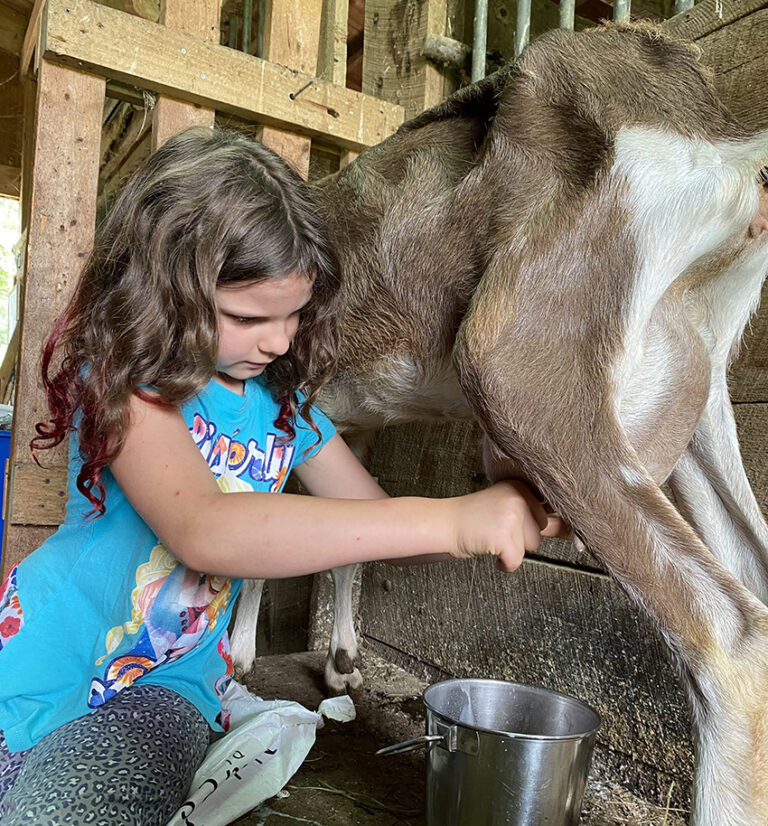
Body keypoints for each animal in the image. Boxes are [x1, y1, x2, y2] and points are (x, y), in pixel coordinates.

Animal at [230, 23, 768, 825]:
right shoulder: (341, 423)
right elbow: (345, 528)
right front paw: (342, 663)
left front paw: (238, 661)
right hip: (694, 384)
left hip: (516, 360)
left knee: (734, 641)